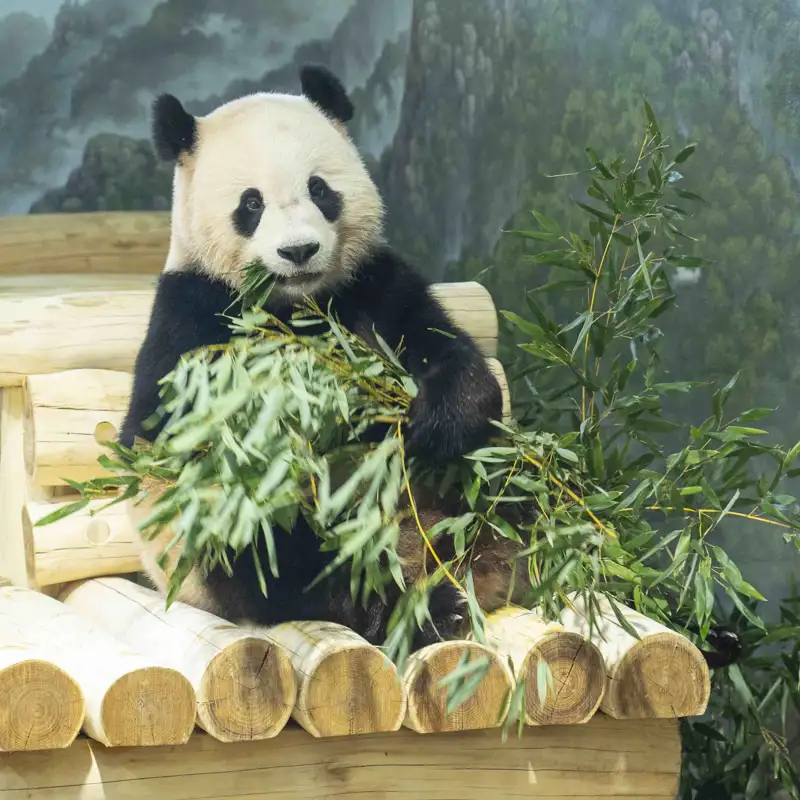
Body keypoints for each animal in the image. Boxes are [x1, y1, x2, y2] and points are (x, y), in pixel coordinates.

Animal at [120, 63, 513, 651]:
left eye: (320, 189)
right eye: (251, 204)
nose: (299, 251)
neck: (298, 304)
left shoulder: (374, 285)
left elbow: (444, 350)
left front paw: (438, 422)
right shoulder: (194, 317)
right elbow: (176, 427)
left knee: (503, 481)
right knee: (276, 556)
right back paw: (401, 610)